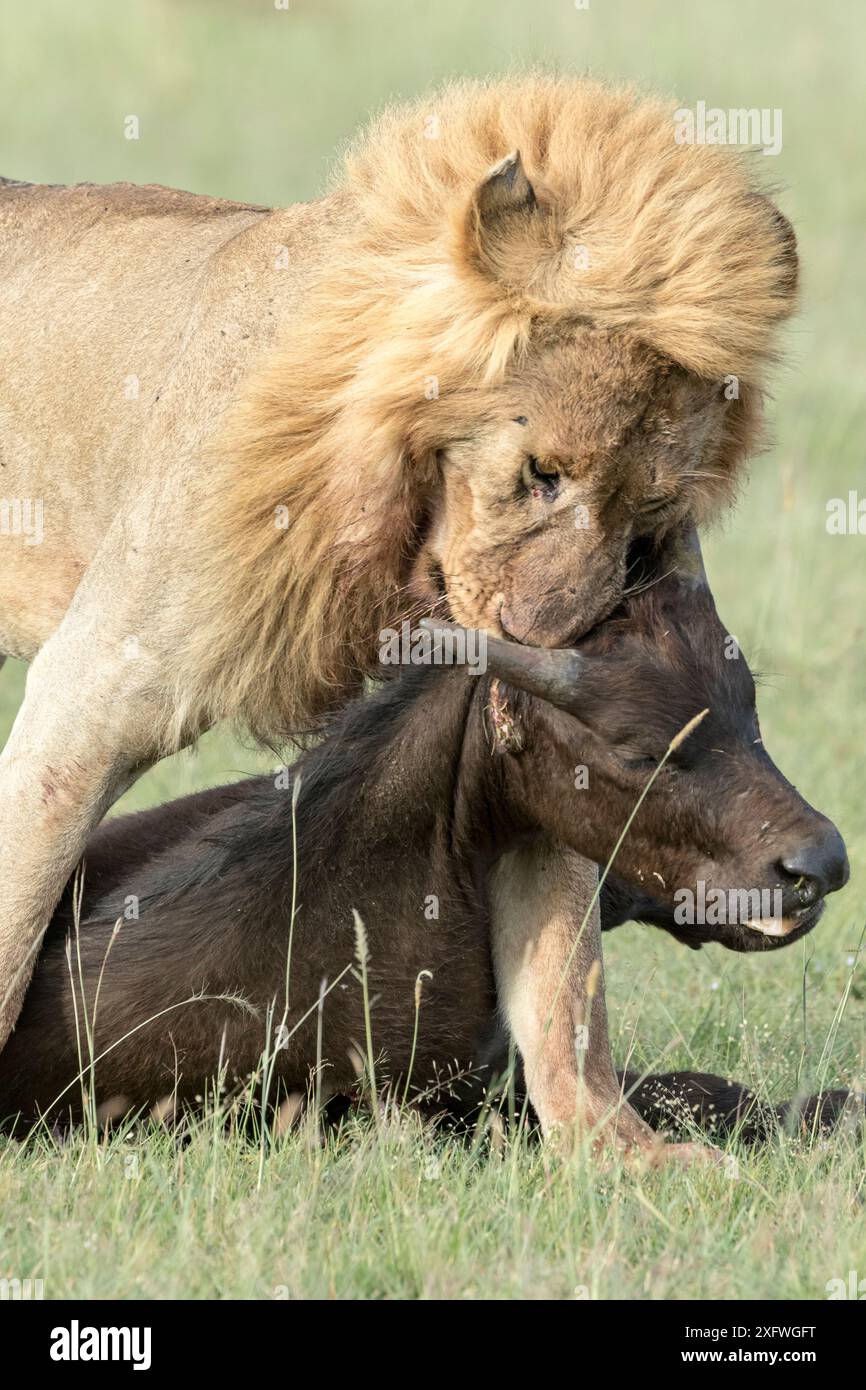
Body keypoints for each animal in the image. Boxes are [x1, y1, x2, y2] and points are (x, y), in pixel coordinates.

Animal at [0, 76, 797, 1153]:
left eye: (651, 510)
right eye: (539, 473)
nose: (556, 637)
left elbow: (564, 989)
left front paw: (621, 1150)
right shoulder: (94, 688)